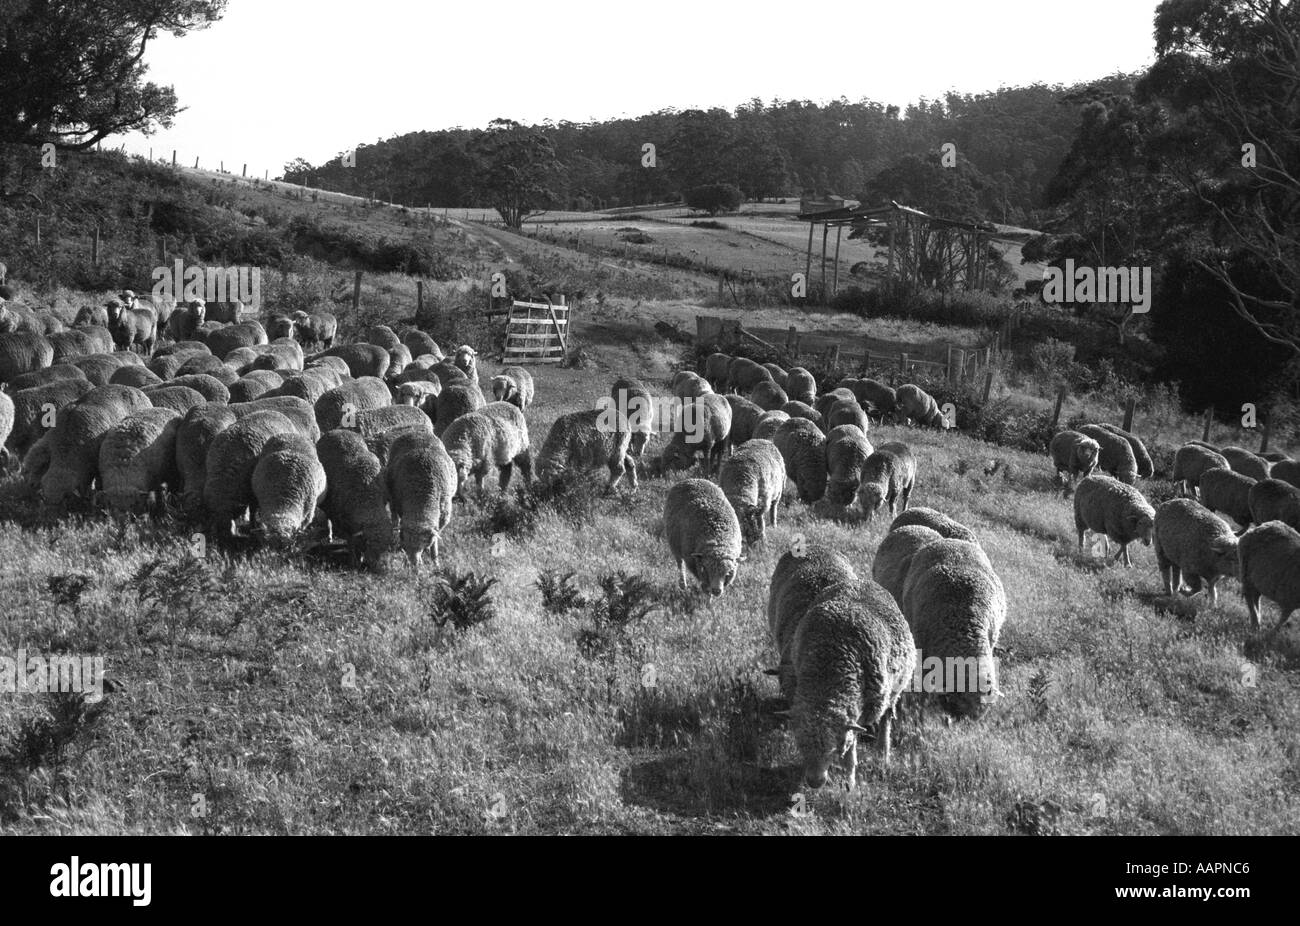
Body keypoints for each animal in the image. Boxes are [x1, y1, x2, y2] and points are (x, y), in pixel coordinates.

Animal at [317, 429, 392, 570]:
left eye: (386, 546)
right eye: (369, 543)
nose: (378, 567)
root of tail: (337, 430)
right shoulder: (344, 521)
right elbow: (351, 541)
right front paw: (354, 561)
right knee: (328, 517)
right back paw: (330, 535)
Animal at [384, 430, 457, 567]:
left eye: (421, 545)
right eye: (405, 544)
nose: (413, 564)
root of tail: (415, 431)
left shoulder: (442, 519)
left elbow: (434, 541)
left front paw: (435, 560)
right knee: (394, 517)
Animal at [788, 579, 917, 787]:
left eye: (833, 749)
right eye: (801, 745)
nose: (814, 782)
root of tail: (862, 581)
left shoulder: (862, 712)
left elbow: (852, 747)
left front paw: (849, 781)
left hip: (893, 690)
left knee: (886, 718)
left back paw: (882, 753)